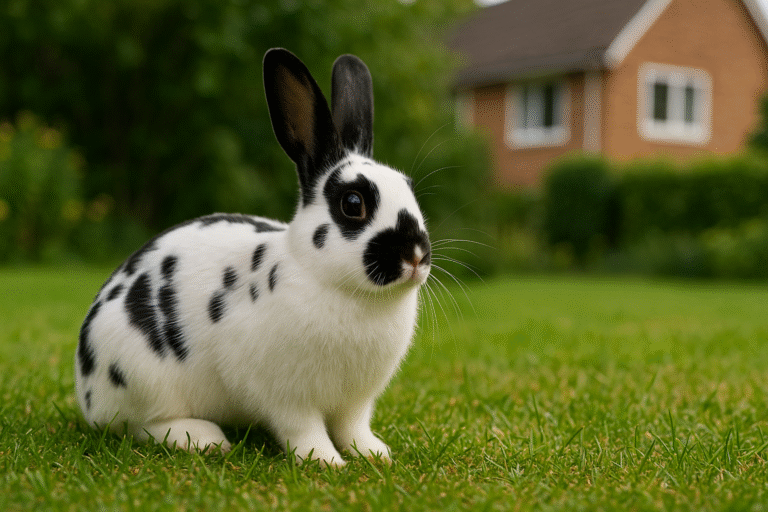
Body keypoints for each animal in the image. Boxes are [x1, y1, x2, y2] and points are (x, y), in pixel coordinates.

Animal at [74, 48, 431, 467]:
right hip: (144, 381)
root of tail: (86, 391)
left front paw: (375, 454)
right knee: (143, 426)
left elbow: (352, 428)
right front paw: (325, 461)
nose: (416, 255)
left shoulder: (355, 402)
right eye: (353, 203)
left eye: (409, 189)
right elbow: (303, 429)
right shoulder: (286, 397)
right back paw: (205, 439)